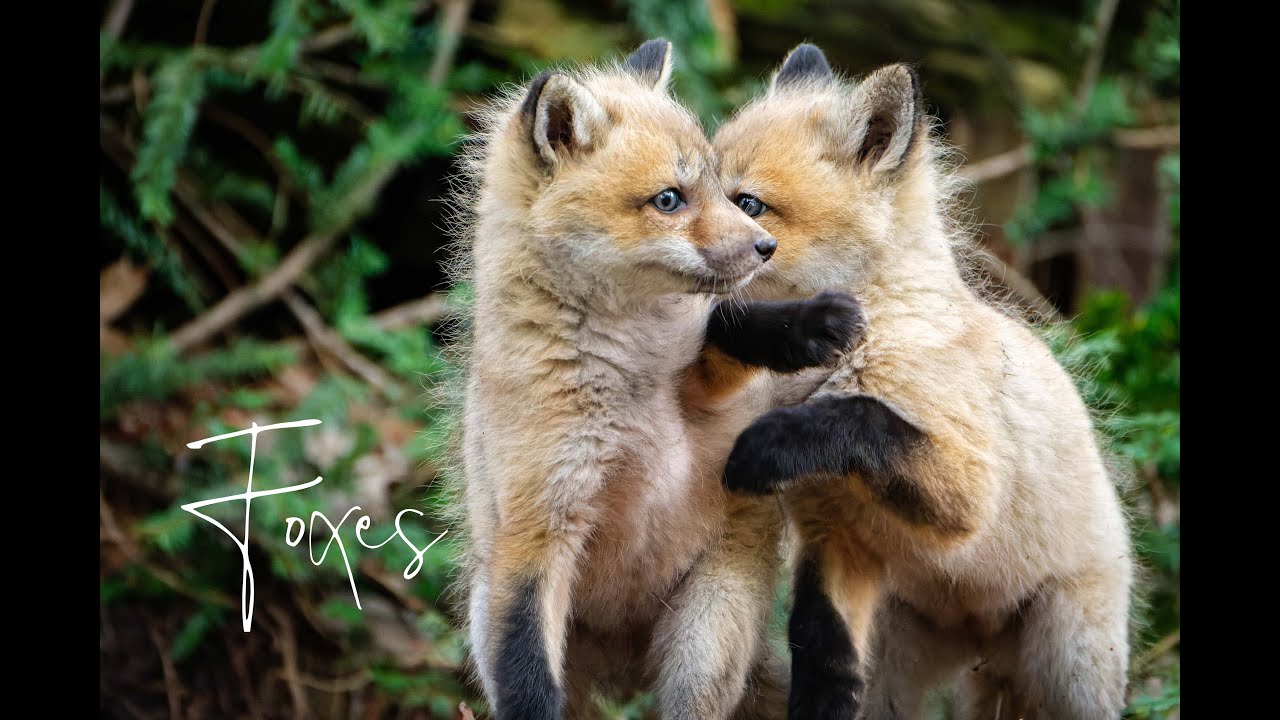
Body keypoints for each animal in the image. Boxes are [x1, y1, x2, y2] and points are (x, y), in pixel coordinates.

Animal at [443, 39, 866, 720]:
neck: (634, 377)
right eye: (669, 199)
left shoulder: (704, 391)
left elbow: (726, 325)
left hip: (707, 634)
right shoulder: (537, 528)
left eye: (725, 190)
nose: (765, 246)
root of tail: (625, 675)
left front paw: (809, 323)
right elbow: (526, 670)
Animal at [706, 44, 1137, 720]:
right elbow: (821, 652)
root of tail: (980, 634)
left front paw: (766, 442)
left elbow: (865, 416)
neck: (875, 335)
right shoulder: (837, 536)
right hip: (897, 662)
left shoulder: (969, 493)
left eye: (748, 204)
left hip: (1073, 665)